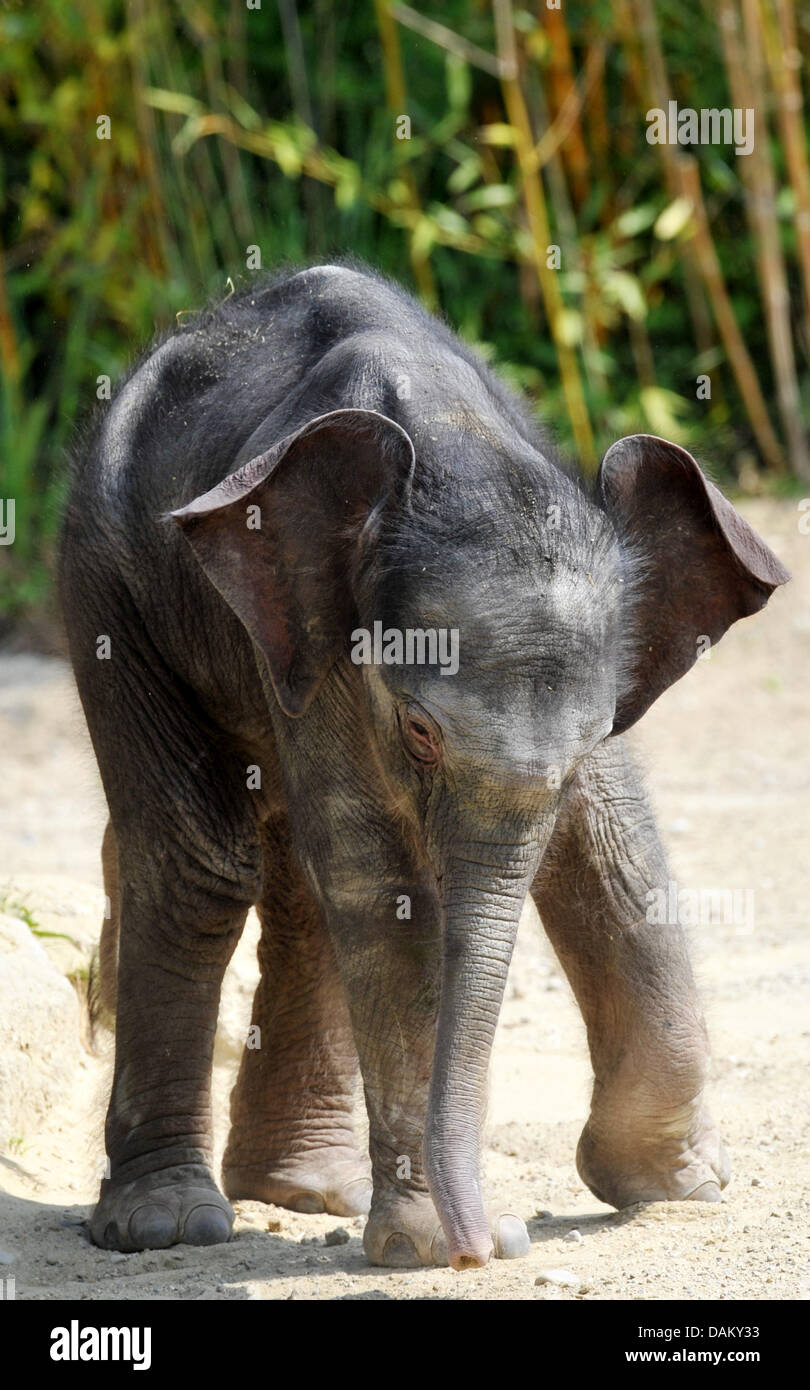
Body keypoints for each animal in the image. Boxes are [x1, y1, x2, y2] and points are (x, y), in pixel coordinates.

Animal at [59, 262, 789, 1270]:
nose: (496, 1243)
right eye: (416, 730)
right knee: (199, 863)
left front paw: (674, 1188)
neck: (457, 448)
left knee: (298, 887)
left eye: (592, 737)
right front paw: (426, 1245)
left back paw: (305, 1190)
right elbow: (384, 884)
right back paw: (165, 1224)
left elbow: (609, 844)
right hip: (110, 582)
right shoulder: (324, 629)